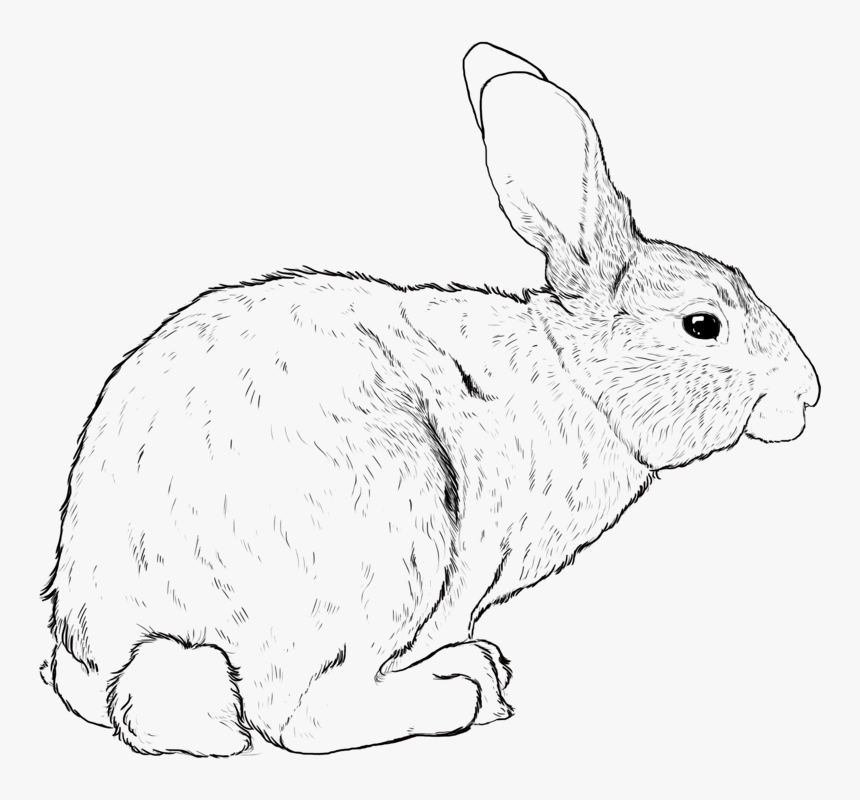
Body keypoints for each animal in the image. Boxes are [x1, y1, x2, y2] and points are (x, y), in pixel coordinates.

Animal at [41, 42, 819, 757]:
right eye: (702, 325)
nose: (807, 393)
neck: (572, 375)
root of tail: (112, 633)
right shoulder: (467, 566)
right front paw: (468, 675)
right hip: (393, 527)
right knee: (296, 717)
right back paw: (458, 695)